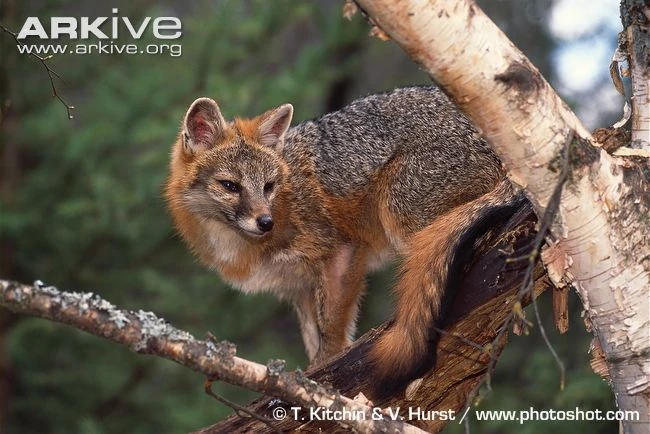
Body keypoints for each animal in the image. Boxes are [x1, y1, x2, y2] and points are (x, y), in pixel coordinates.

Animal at [164, 86, 524, 399]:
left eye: (268, 186)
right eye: (230, 186)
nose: (265, 222)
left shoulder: (341, 253)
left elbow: (332, 334)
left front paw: (316, 383)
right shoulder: (299, 288)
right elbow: (314, 337)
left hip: (401, 215)